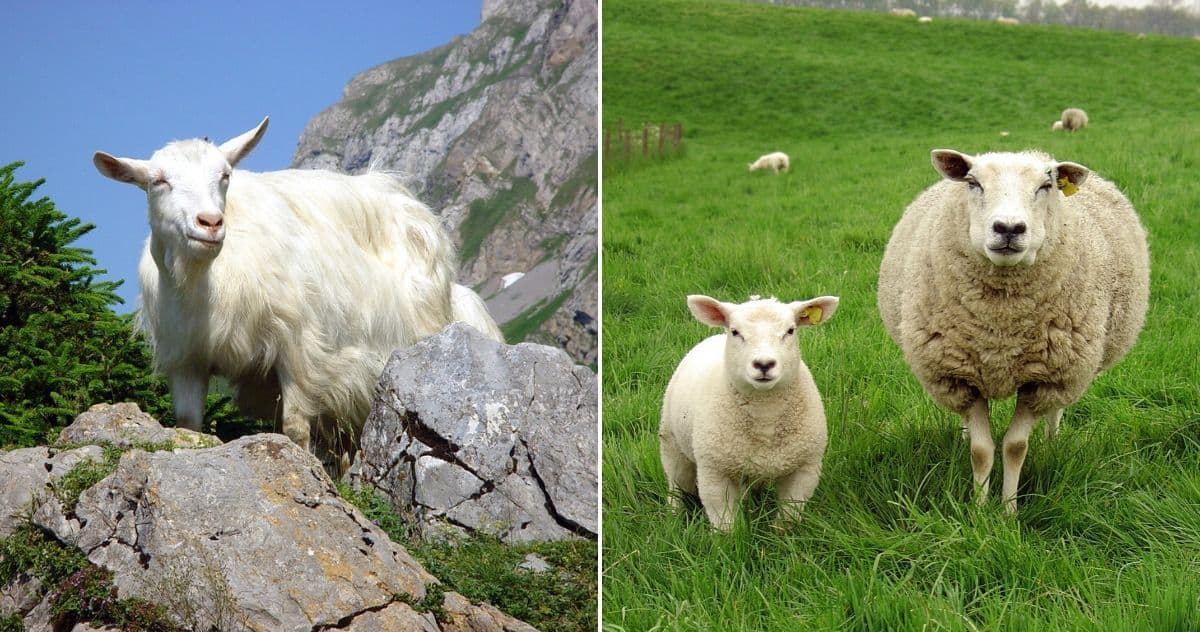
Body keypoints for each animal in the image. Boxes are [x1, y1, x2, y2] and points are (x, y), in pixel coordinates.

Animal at [93, 117, 504, 463]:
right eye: (158, 181)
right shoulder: (188, 357)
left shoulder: (300, 347)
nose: (209, 223)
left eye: (224, 175)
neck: (205, 279)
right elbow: (188, 423)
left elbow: (293, 426)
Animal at [659, 294, 839, 531]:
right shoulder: (715, 472)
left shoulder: (805, 469)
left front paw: (781, 535)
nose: (764, 364)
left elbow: (789, 518)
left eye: (790, 330)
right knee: (675, 486)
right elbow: (725, 525)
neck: (765, 412)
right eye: (736, 332)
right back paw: (673, 517)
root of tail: (715, 336)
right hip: (671, 442)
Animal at [878, 148, 1149, 513]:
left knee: (1055, 412)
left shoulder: (1044, 380)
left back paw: (1051, 442)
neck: (1001, 329)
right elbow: (981, 451)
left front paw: (1008, 512)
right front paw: (979, 511)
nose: (1008, 228)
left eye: (1046, 185)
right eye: (973, 183)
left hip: (1070, 369)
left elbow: (1015, 447)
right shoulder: (960, 379)